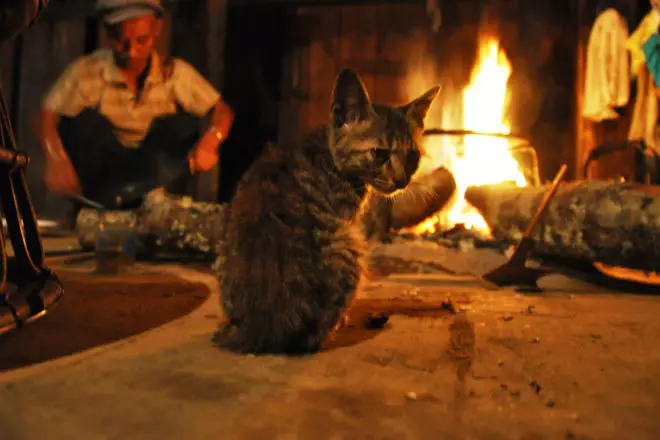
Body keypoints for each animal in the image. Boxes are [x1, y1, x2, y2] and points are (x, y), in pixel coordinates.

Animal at [214, 67, 438, 354]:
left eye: (413, 156)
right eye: (379, 154)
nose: (401, 181)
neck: (329, 154)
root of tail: (261, 330)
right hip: (351, 247)